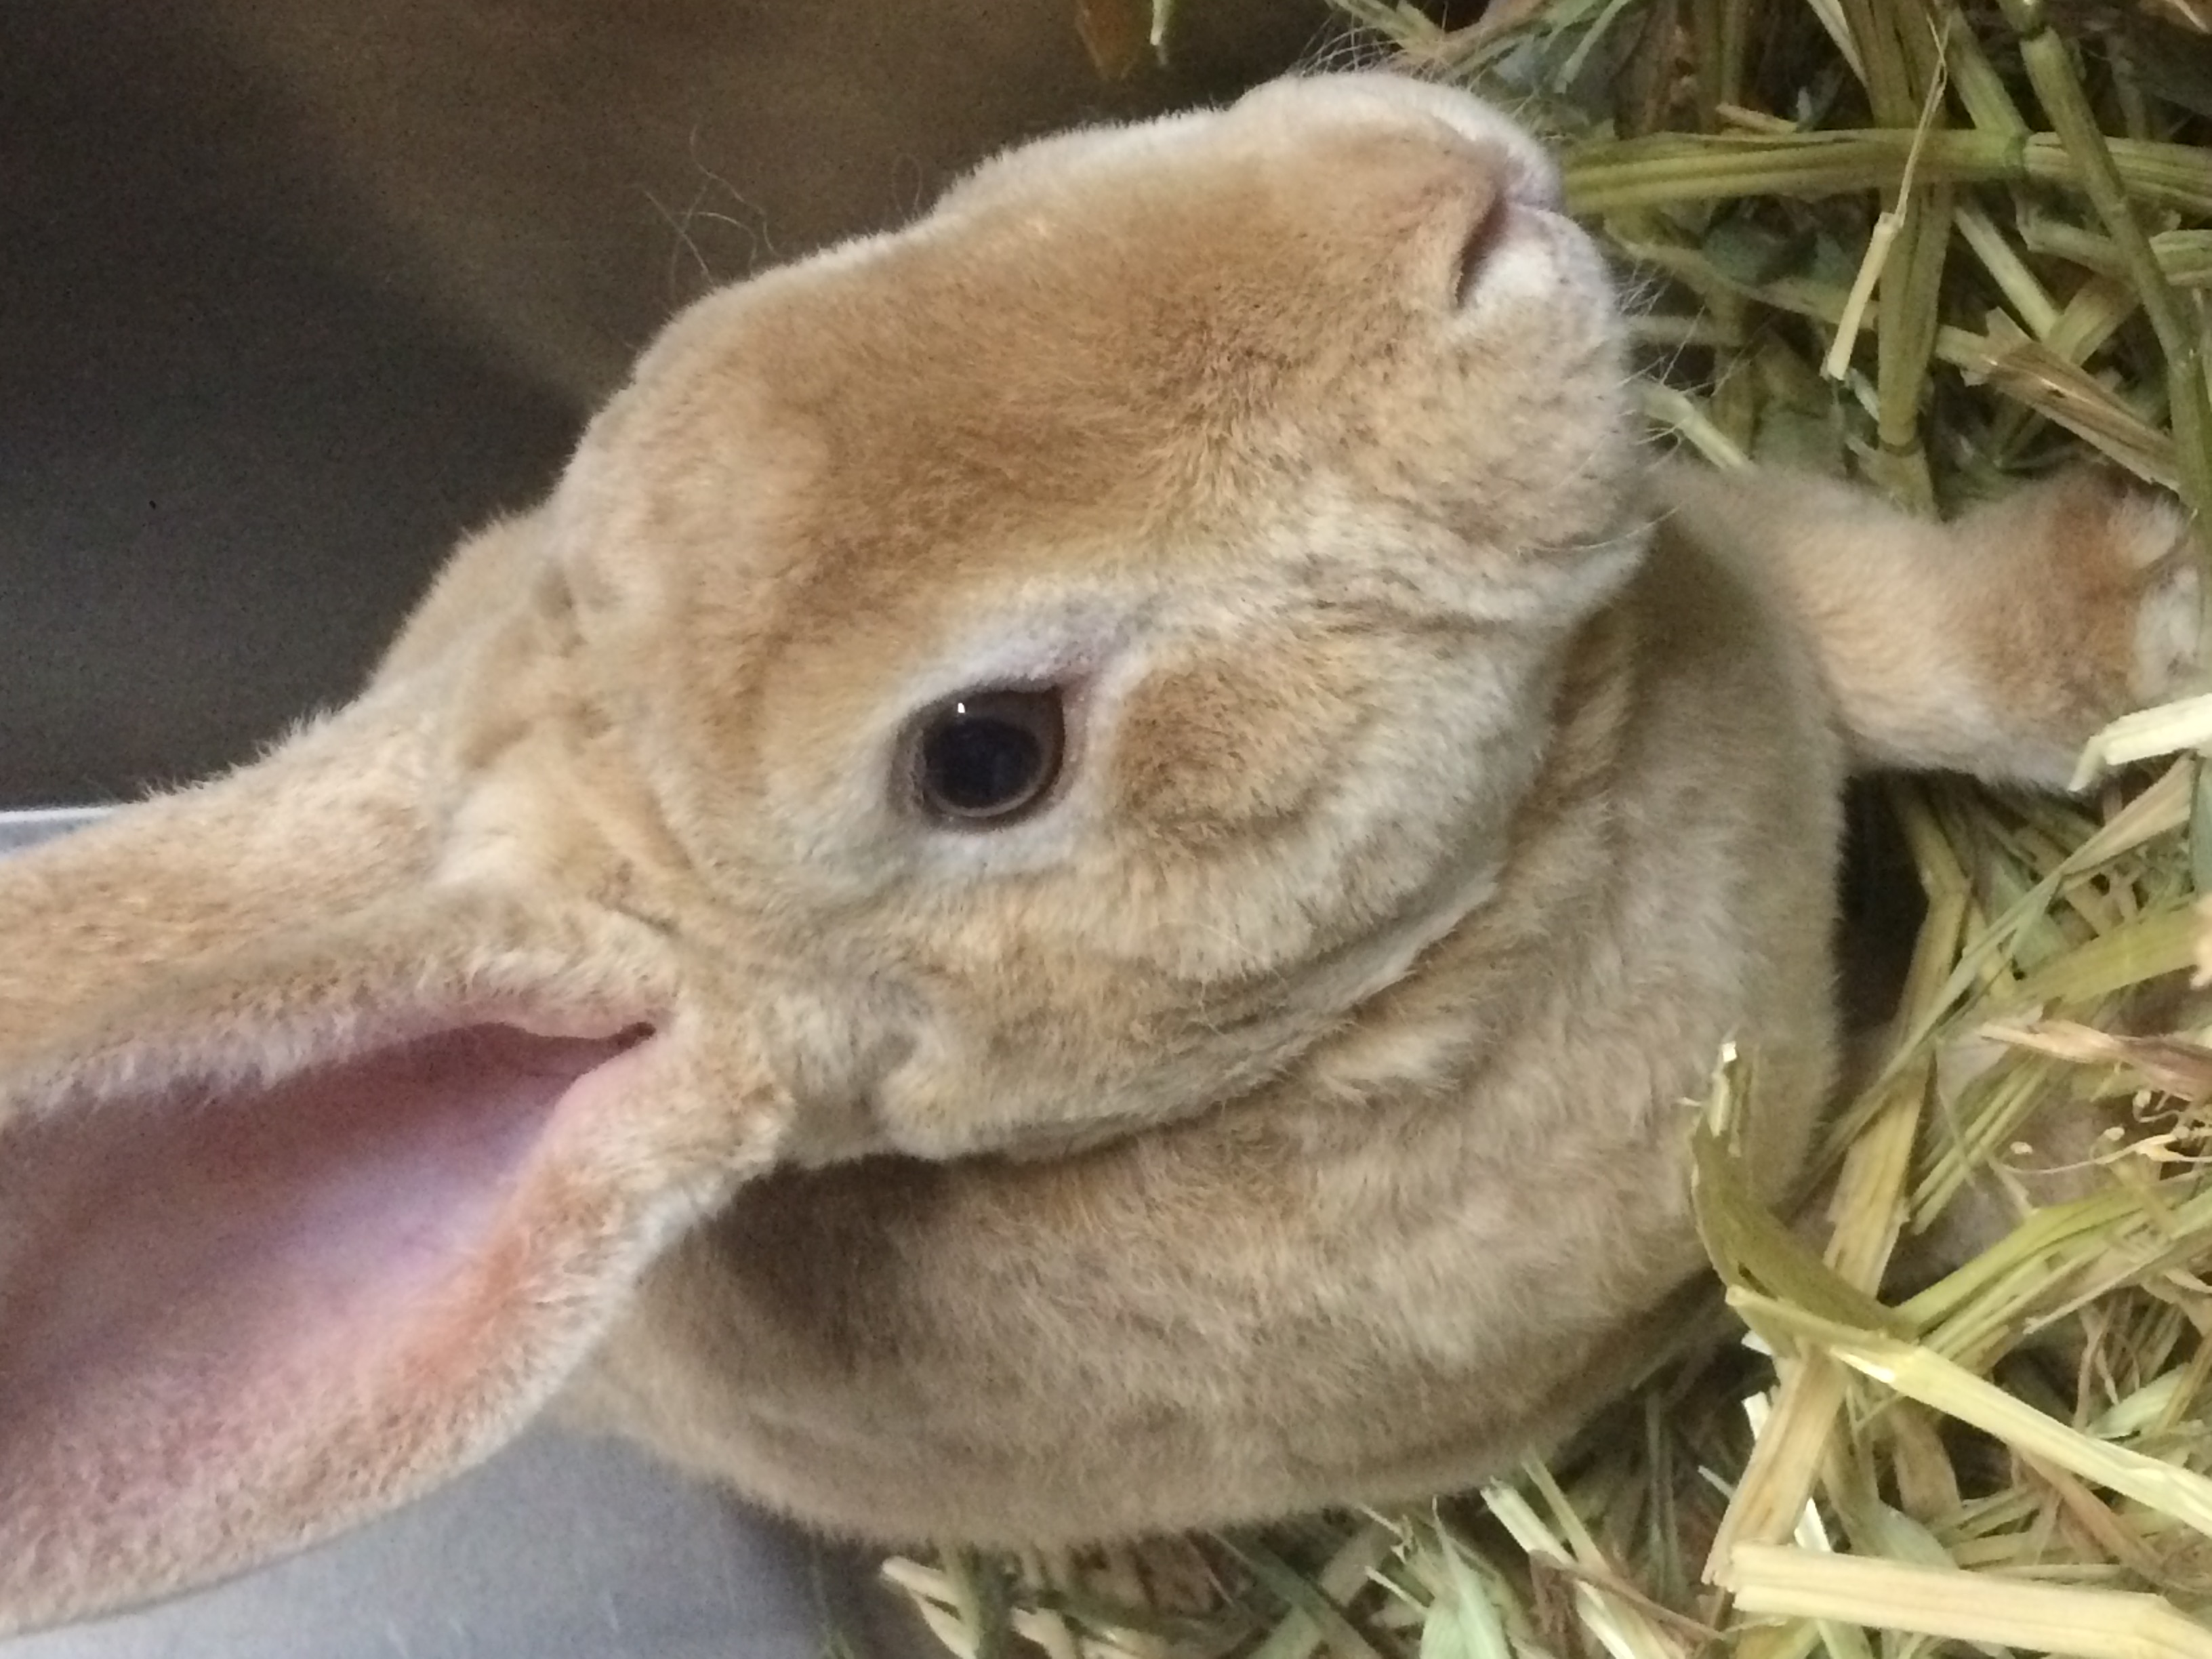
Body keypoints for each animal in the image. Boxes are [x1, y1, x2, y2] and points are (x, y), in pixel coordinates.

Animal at [0, 70, 2201, 1638]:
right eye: (986, 755)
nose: (1455, 205)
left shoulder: (1736, 564)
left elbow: (1924, 642)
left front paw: (2149, 613)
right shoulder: (1699, 1234)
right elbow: (1875, 1193)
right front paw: (2071, 1131)